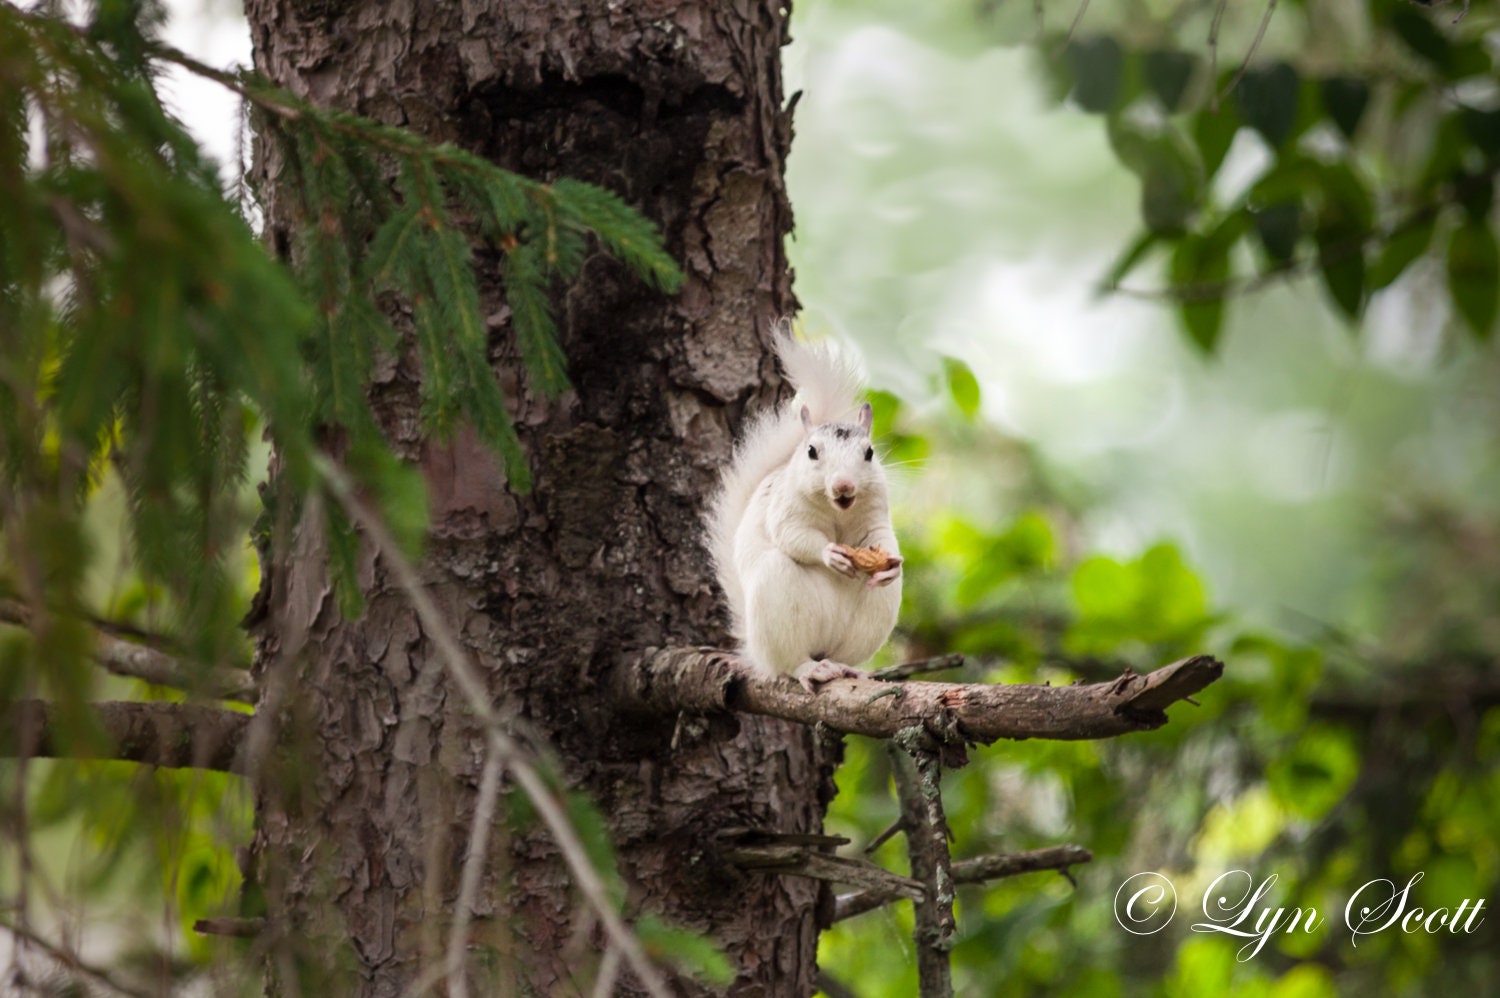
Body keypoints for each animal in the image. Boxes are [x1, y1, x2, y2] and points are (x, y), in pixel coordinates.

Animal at [708, 330, 903, 692]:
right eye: (812, 451)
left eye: (869, 452)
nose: (844, 485)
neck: (838, 510)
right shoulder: (785, 510)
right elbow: (793, 535)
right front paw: (830, 554)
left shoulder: (875, 514)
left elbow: (882, 537)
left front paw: (891, 566)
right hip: (778, 602)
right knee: (789, 662)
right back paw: (810, 669)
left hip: (869, 620)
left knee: (844, 653)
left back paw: (848, 668)